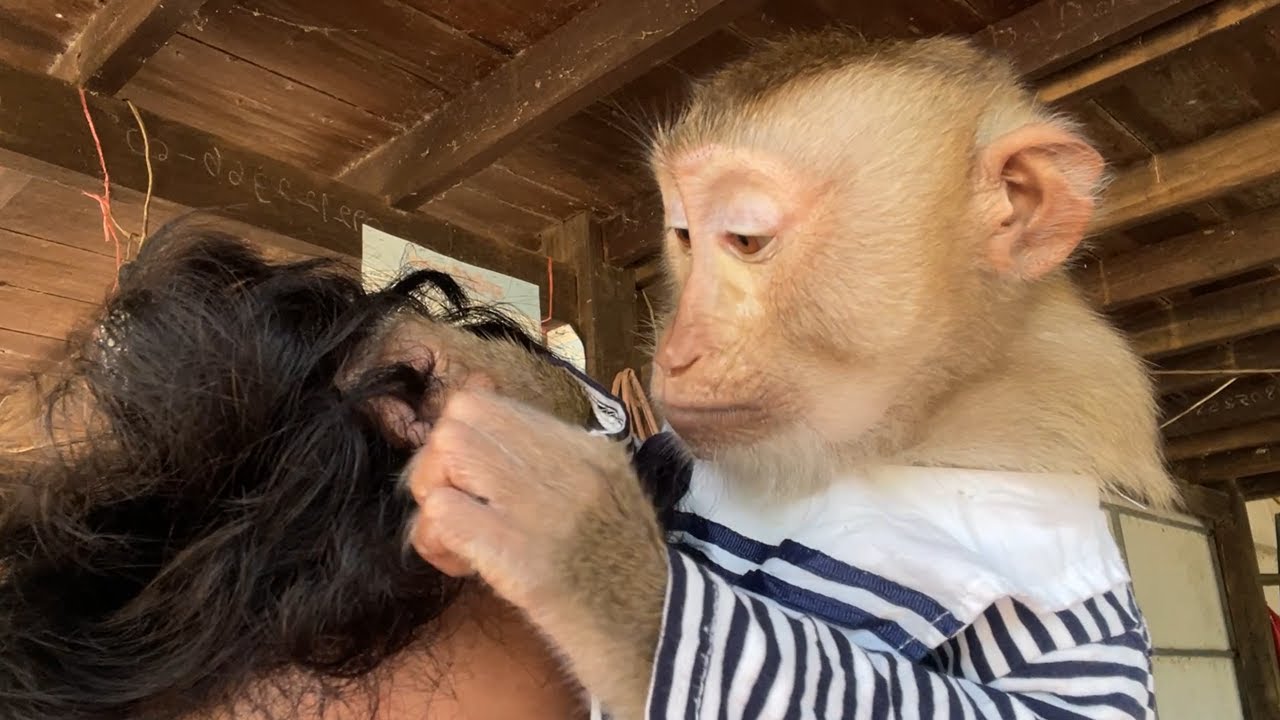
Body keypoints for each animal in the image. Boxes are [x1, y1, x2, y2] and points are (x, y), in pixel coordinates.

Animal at [405, 31, 1172, 720]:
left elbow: (1050, 706)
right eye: (684, 234)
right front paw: (466, 366)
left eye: (747, 237)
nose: (675, 352)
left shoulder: (1064, 577)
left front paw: (582, 548)